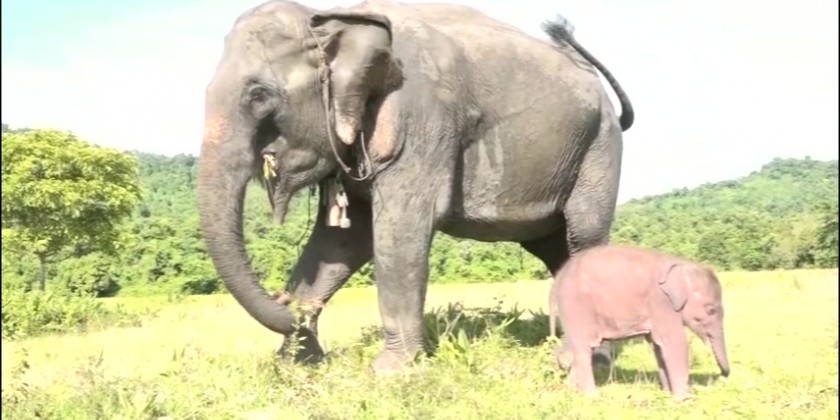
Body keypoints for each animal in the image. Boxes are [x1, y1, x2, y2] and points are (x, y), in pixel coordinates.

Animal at [197, 0, 635, 375]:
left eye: (259, 96)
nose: (284, 299)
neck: (333, 17)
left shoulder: (424, 119)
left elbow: (400, 231)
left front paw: (391, 372)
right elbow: (340, 243)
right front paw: (297, 365)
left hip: (600, 148)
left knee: (584, 234)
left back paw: (585, 361)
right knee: (557, 249)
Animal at [548, 244, 731, 401]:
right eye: (711, 310)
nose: (723, 376)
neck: (685, 265)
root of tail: (559, 276)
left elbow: (658, 346)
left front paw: (666, 393)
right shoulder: (661, 302)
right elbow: (674, 342)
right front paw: (683, 400)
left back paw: (572, 390)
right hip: (576, 307)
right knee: (584, 348)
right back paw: (592, 397)